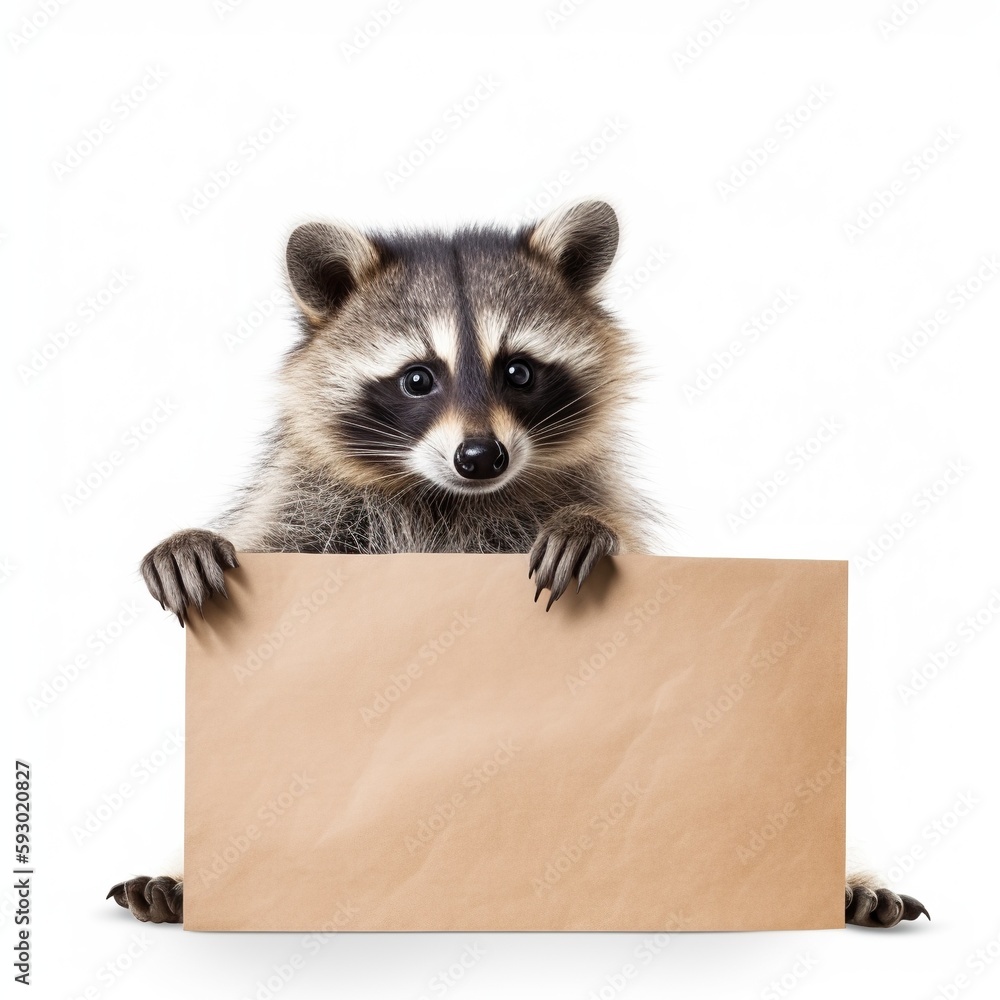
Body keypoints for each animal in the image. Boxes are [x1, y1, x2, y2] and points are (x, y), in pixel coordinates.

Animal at [107, 201, 926, 929]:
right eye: (418, 378)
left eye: (519, 372)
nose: (481, 456)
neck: (450, 495)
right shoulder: (308, 501)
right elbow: (274, 534)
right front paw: (191, 540)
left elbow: (606, 525)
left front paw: (587, 531)